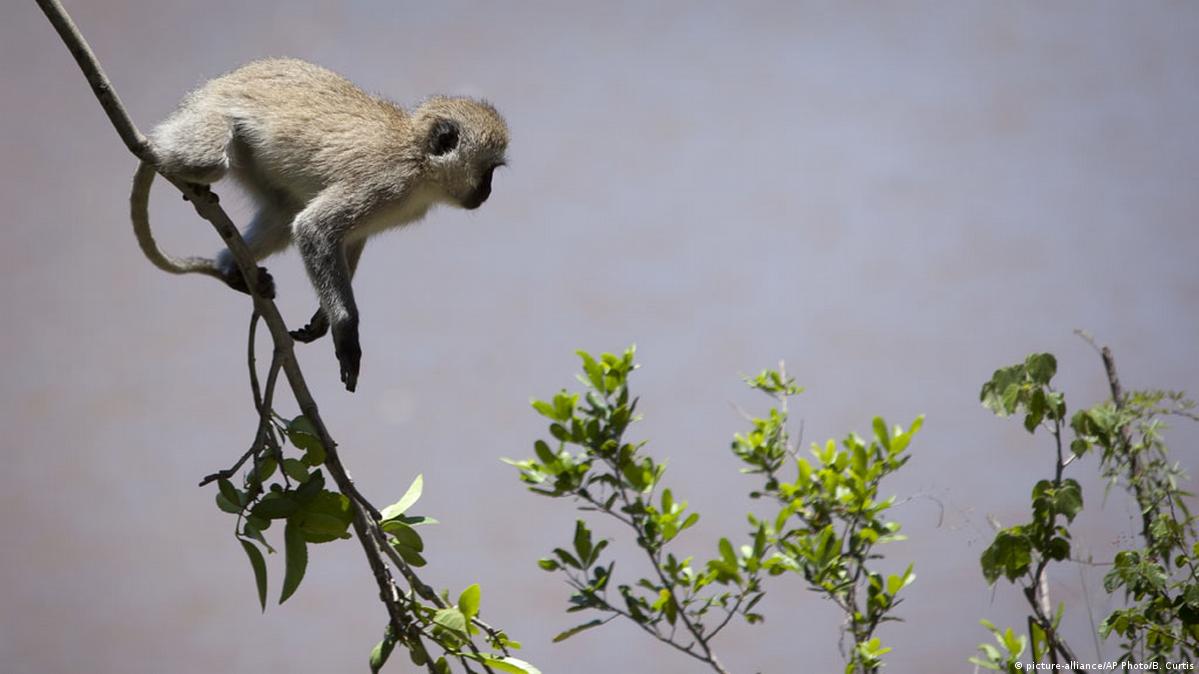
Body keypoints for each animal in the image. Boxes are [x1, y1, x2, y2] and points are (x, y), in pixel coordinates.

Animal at [130, 58, 509, 392]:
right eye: (488, 171)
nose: (488, 191)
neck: (420, 162)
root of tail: (213, 86)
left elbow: (345, 237)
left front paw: (322, 319)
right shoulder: (385, 183)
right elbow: (315, 228)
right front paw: (345, 330)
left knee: (282, 217)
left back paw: (231, 269)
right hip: (212, 115)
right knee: (207, 162)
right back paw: (158, 154)